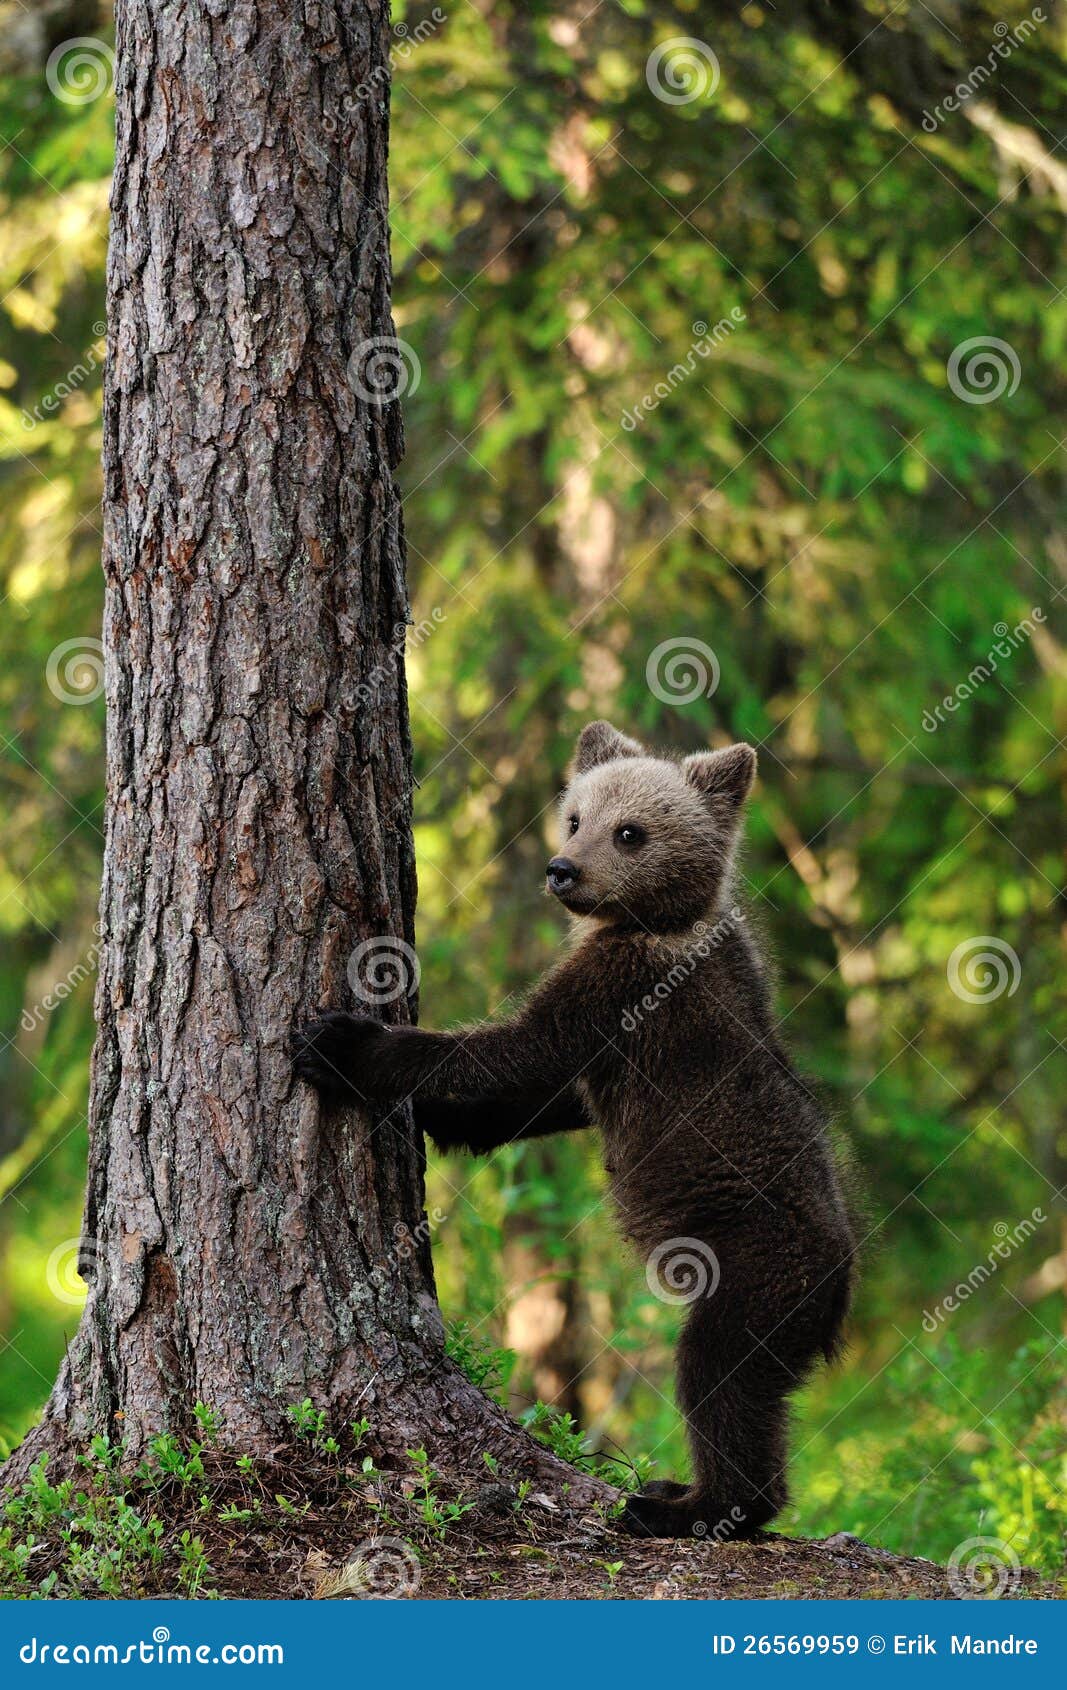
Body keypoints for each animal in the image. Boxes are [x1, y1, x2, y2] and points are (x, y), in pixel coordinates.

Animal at [293, 720, 856, 1540]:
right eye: (574, 816)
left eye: (630, 831)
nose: (562, 870)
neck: (656, 921)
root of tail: (840, 1286)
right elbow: (543, 1096)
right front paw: (439, 1120)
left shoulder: (623, 992)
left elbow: (517, 1052)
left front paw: (342, 1045)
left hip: (755, 1271)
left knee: (721, 1381)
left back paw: (682, 1504)